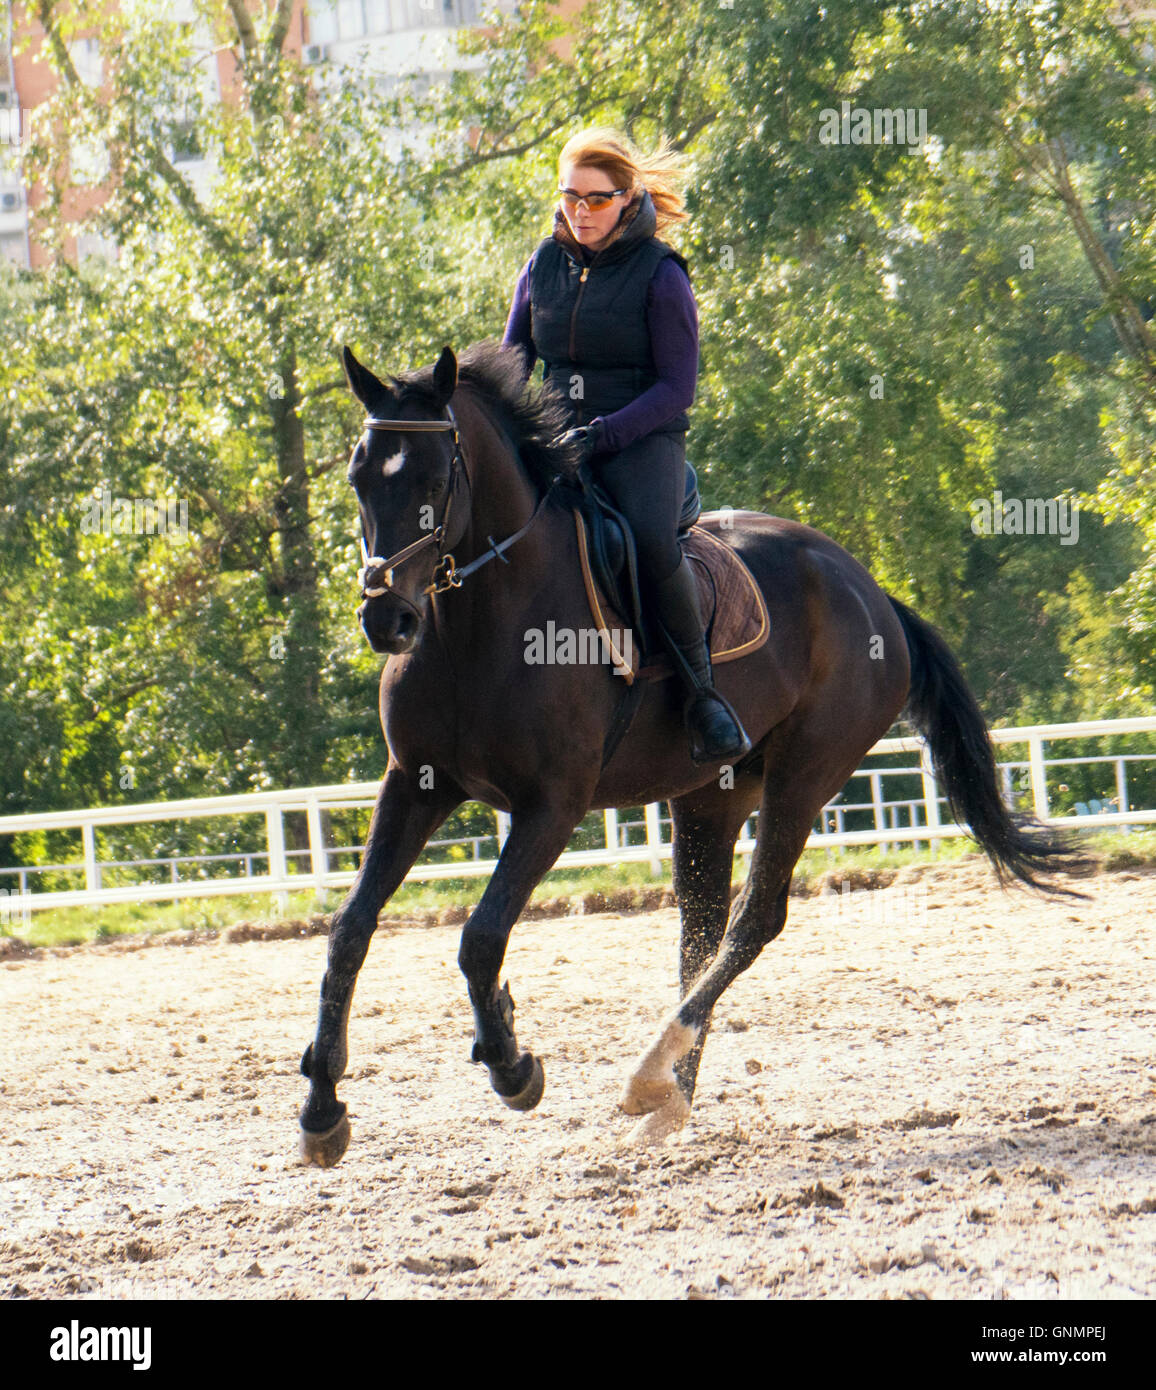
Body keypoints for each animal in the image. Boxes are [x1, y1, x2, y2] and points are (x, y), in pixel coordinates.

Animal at [298, 338, 1076, 1167]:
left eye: (435, 480)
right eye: (358, 475)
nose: (386, 618)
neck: (477, 621)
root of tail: (871, 591)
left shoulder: (553, 805)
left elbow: (480, 939)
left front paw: (512, 1067)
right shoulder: (415, 784)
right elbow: (349, 931)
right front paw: (322, 1107)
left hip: (806, 776)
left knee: (753, 919)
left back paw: (650, 1074)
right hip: (712, 794)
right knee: (698, 928)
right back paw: (670, 1095)